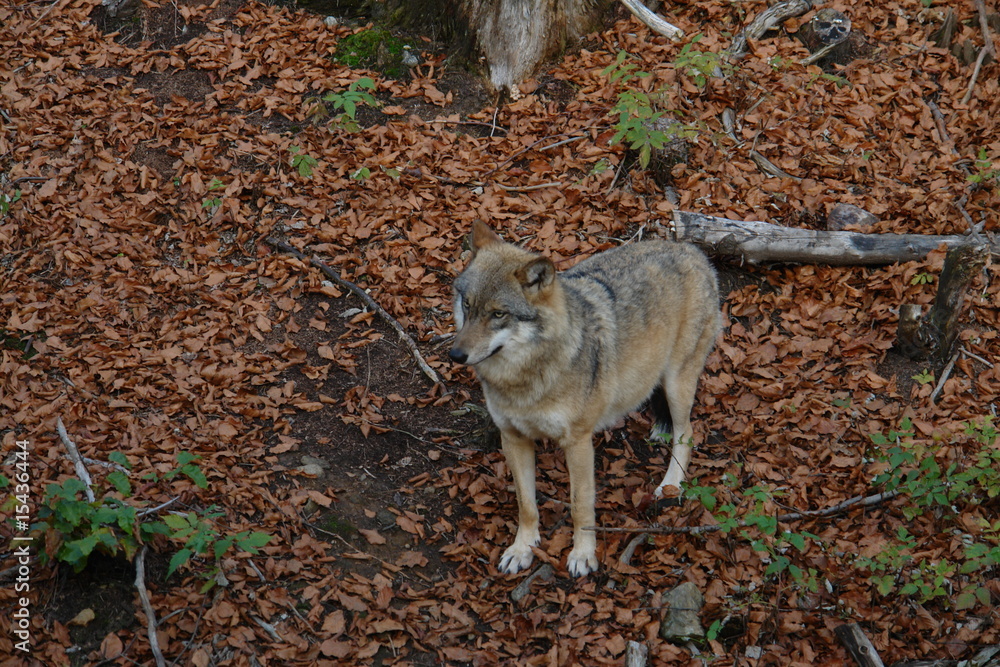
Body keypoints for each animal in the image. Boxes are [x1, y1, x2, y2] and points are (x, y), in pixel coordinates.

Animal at [450, 221, 720, 577]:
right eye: (467, 305)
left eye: (498, 314)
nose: (455, 355)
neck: (525, 380)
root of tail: (692, 250)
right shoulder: (513, 437)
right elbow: (526, 504)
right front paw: (523, 549)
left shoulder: (577, 443)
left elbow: (580, 506)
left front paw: (582, 555)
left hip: (677, 384)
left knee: (687, 433)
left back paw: (670, 486)